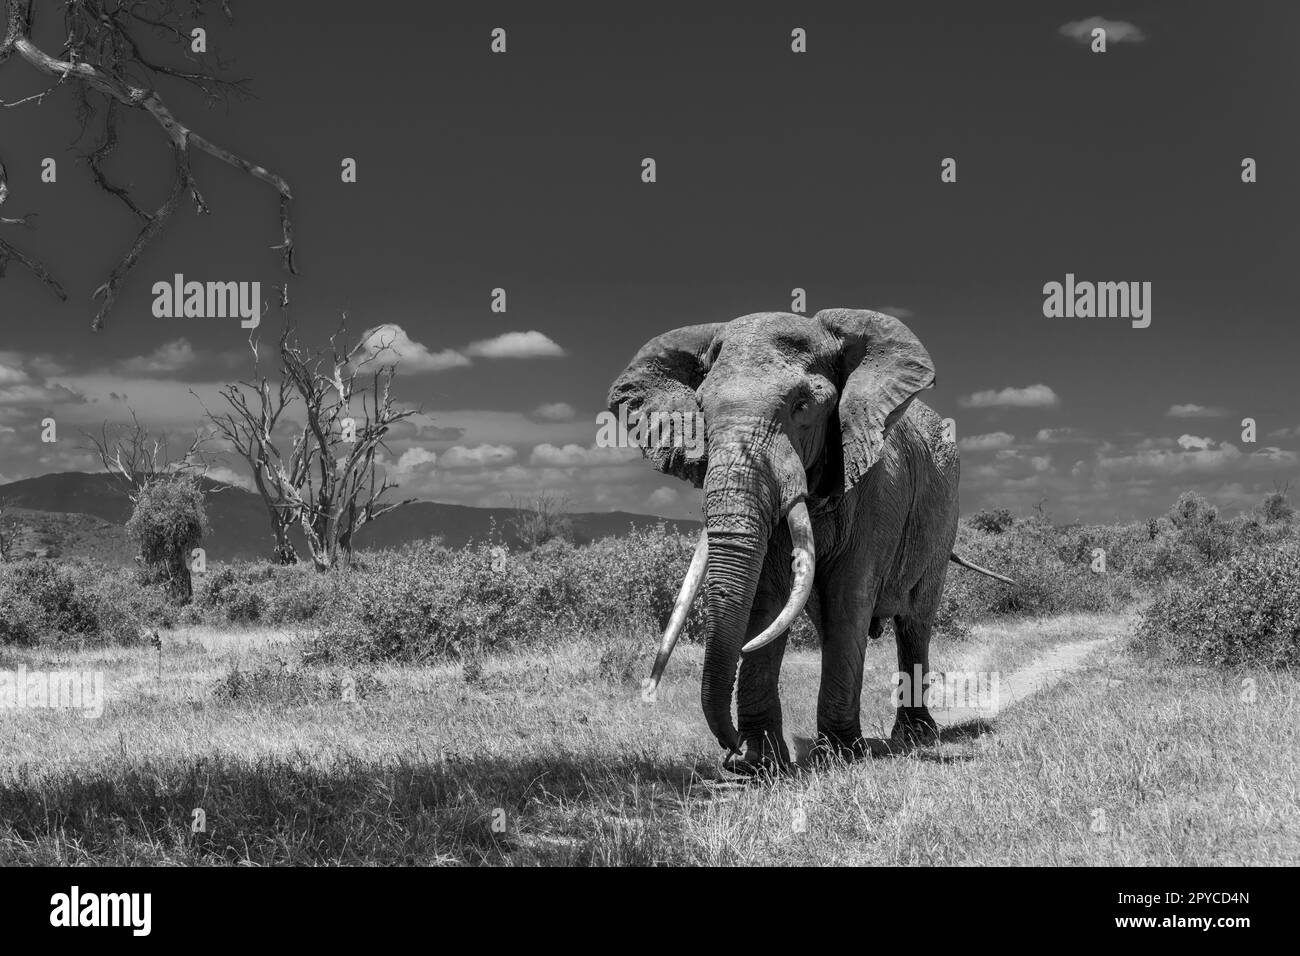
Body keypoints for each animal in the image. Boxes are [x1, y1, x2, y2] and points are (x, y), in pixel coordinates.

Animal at [608, 309, 1015, 773]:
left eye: (802, 407)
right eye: (702, 414)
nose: (729, 751)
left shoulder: (878, 488)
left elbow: (848, 597)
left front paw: (840, 756)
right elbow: (766, 599)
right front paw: (758, 766)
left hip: (943, 518)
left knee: (915, 620)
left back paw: (916, 735)